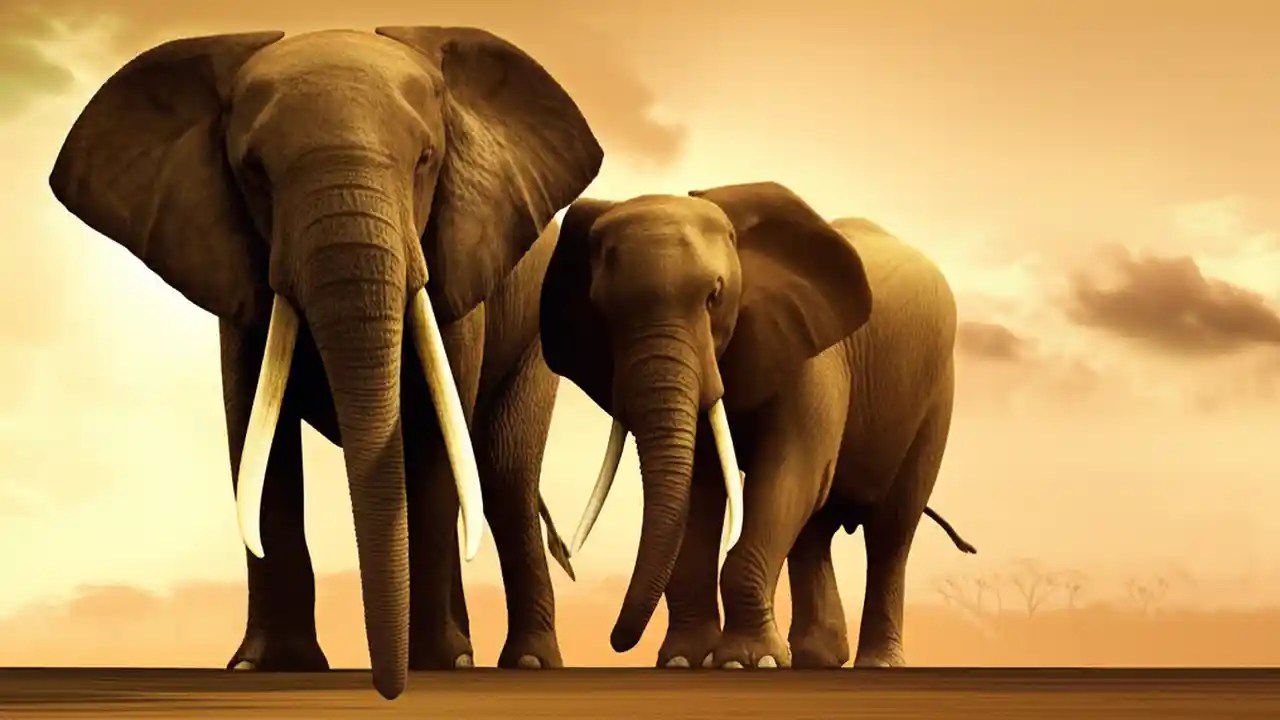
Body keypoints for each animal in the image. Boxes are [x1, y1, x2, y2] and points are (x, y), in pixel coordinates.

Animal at [49, 27, 602, 699]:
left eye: (426, 160)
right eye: (253, 172)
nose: (389, 690)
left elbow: (434, 438)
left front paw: (436, 662)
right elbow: (259, 440)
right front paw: (267, 666)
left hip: (533, 337)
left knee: (501, 475)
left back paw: (519, 662)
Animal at [539, 181, 975, 671]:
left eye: (714, 297)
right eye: (601, 310)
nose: (617, 641)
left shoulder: (813, 358)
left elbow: (787, 474)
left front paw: (747, 662)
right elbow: (701, 490)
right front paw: (686, 660)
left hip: (936, 395)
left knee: (890, 532)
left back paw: (875, 663)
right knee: (815, 528)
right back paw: (818, 657)